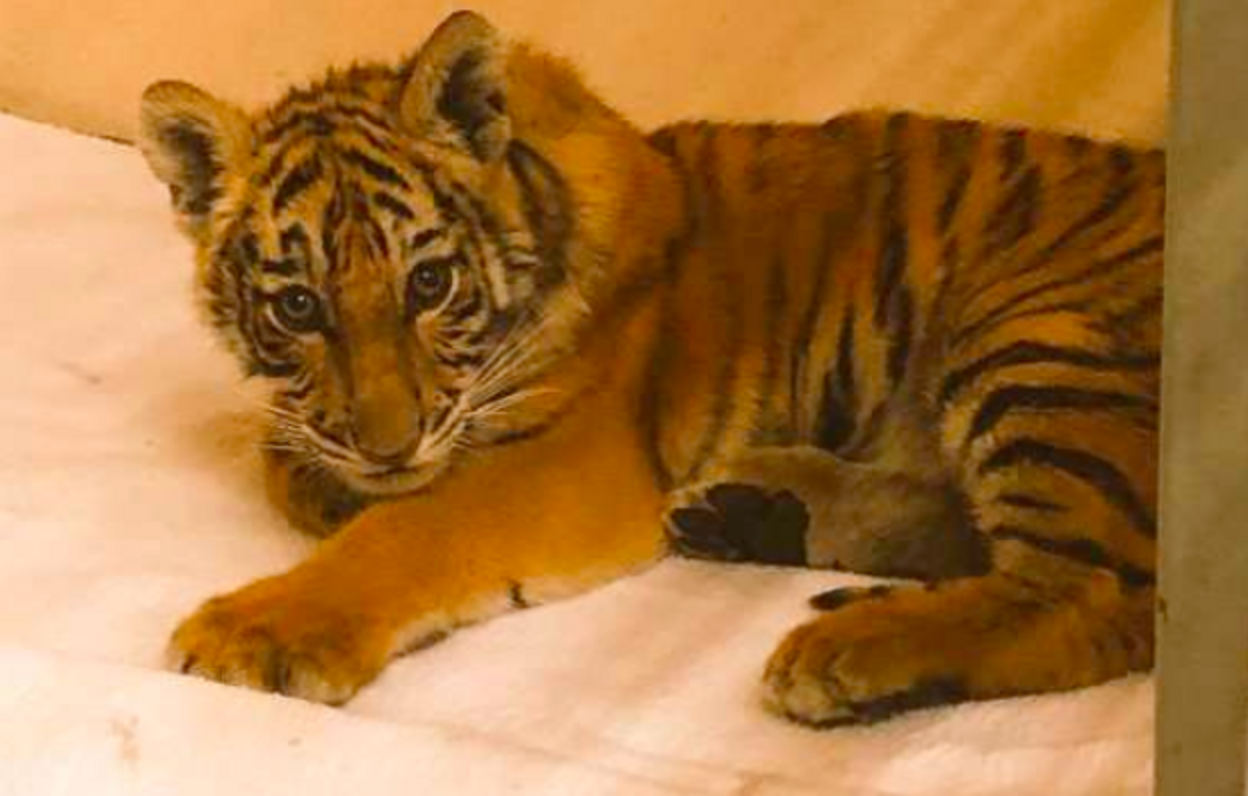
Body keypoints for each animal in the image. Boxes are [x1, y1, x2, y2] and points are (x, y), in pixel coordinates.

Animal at [137, 10, 1162, 725]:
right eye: (298, 307)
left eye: (429, 282)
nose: (389, 449)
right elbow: (290, 457)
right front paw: (330, 483)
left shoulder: (568, 463)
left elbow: (410, 531)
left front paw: (259, 631)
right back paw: (752, 514)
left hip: (1039, 327)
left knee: (1096, 593)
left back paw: (846, 651)